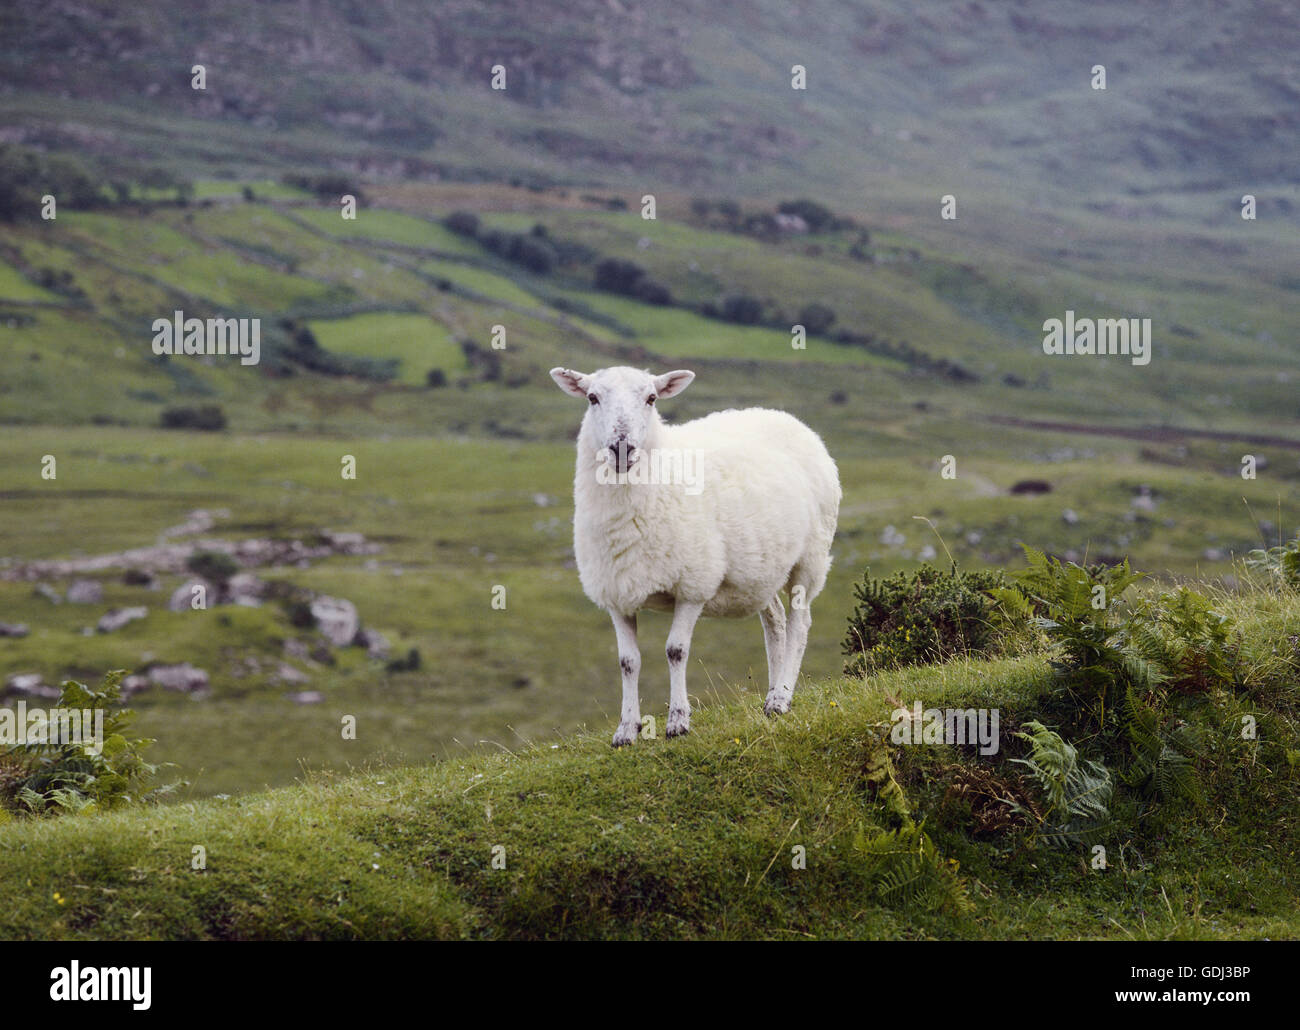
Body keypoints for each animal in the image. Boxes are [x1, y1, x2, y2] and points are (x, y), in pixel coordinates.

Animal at [549, 365, 841, 746]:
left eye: (652, 398)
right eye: (592, 397)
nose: (622, 448)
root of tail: (787, 418)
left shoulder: (693, 585)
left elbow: (676, 650)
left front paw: (678, 721)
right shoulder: (617, 592)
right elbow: (628, 661)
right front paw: (626, 729)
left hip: (811, 556)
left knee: (799, 623)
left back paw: (782, 697)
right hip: (762, 571)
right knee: (776, 621)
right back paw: (771, 693)